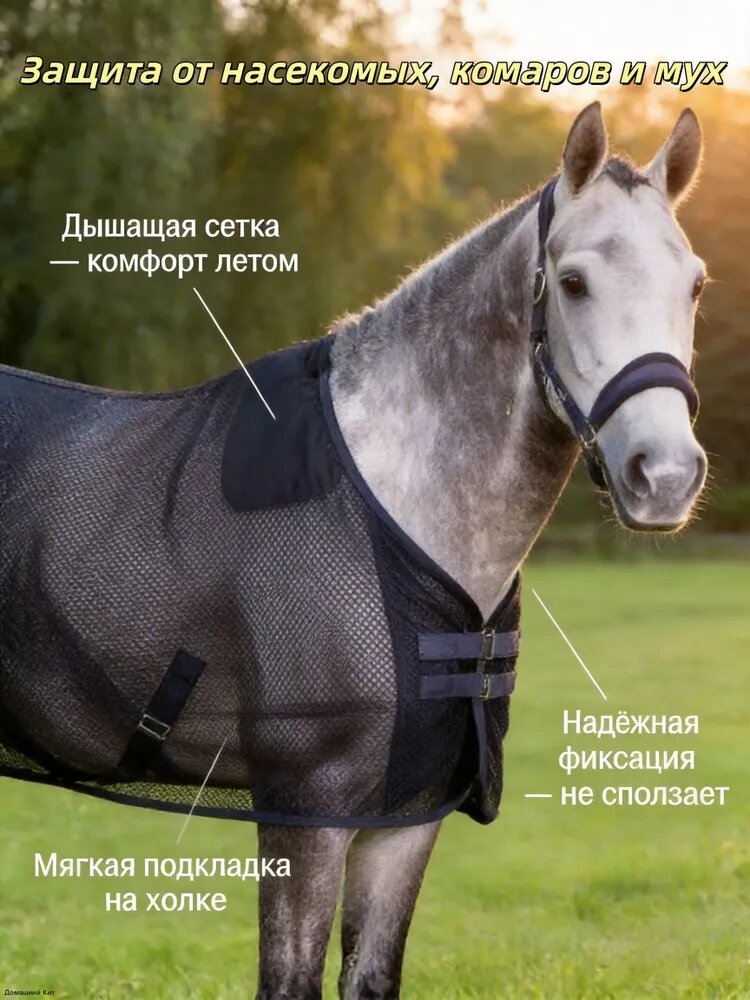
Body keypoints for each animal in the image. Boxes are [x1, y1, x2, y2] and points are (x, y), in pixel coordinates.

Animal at [0, 102, 707, 998]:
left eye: (695, 284)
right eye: (574, 282)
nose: (666, 475)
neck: (394, 499)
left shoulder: (405, 818)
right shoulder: (307, 812)